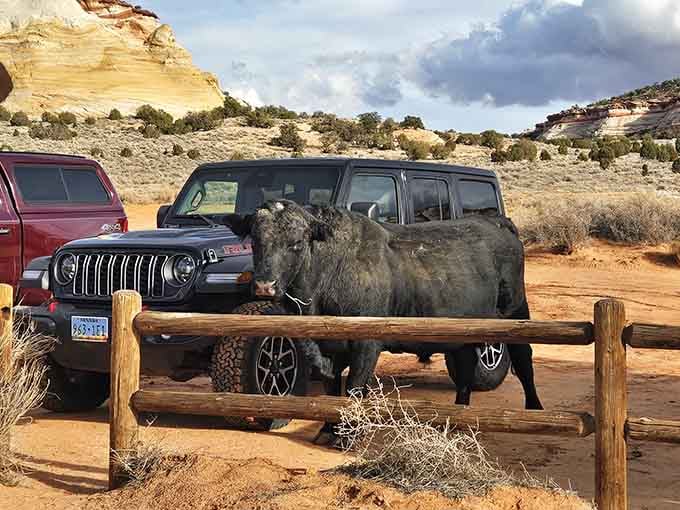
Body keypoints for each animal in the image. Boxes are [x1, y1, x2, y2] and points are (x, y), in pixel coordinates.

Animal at [224, 200, 542, 417]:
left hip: (515, 311)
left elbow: (353, 390)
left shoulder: (367, 345)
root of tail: (495, 221)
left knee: (523, 359)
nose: (264, 285)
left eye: (297, 242)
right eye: (255, 240)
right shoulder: (330, 350)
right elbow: (333, 392)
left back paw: (535, 408)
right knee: (464, 366)